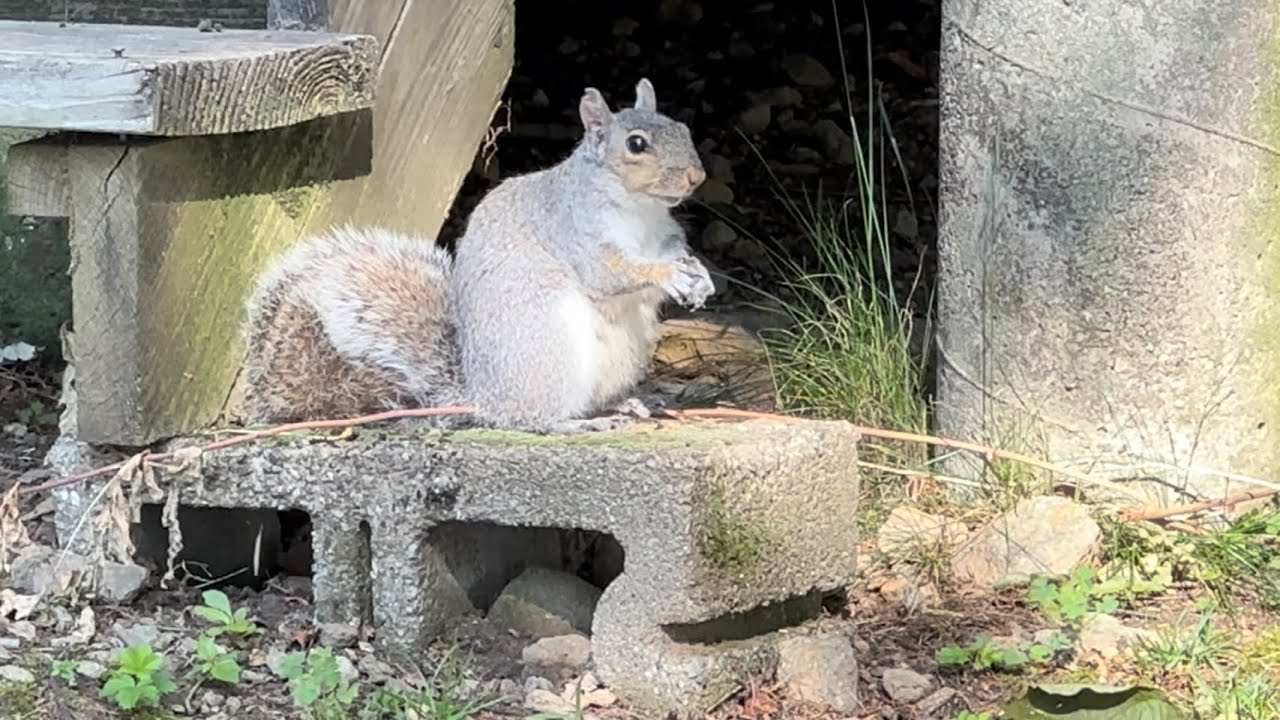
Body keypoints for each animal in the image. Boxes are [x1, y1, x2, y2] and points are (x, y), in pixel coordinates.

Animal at [241, 78, 716, 433]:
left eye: (682, 128)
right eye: (636, 144)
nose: (697, 176)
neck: (641, 211)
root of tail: (482, 396)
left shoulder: (664, 235)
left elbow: (669, 257)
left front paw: (698, 274)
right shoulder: (574, 234)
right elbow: (610, 274)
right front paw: (669, 274)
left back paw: (621, 406)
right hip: (548, 355)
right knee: (528, 419)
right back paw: (574, 424)